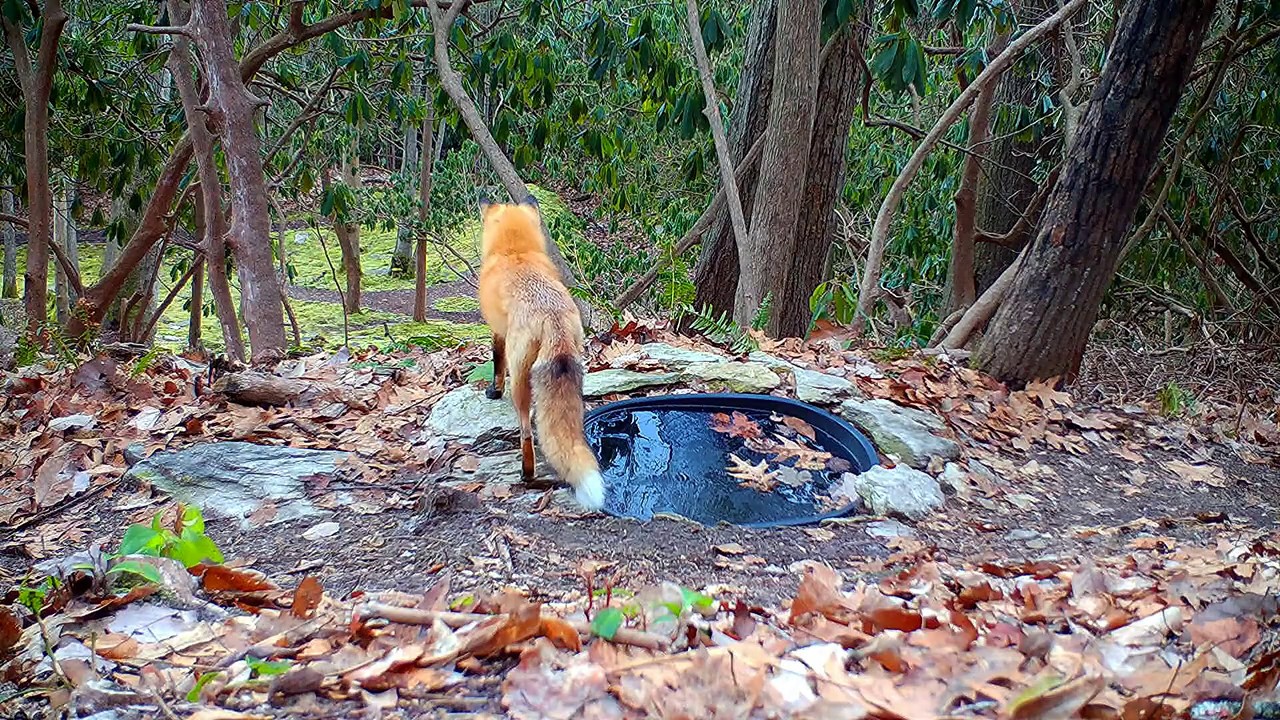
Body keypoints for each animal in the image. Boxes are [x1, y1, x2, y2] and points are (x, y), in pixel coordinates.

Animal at [476, 194, 605, 510]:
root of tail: (551, 315)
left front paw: (493, 391)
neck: (515, 252)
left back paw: (527, 473)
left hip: (520, 379)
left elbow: (496, 365)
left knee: (526, 430)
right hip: (577, 361)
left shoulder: (497, 332)